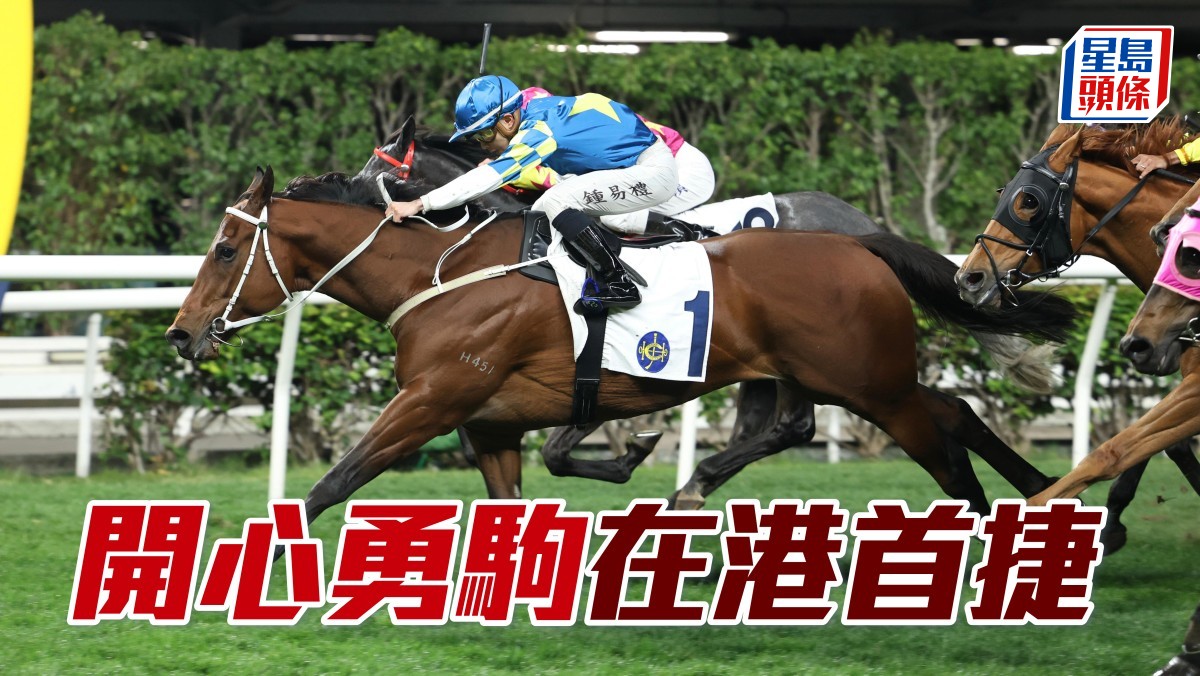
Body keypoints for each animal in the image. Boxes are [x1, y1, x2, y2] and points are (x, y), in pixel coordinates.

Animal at [166, 166, 1077, 538]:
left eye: (223, 249)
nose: (180, 331)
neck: (445, 272)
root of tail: (857, 242)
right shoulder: (490, 424)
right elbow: (517, 499)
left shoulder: (429, 402)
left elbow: (334, 481)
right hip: (815, 376)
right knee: (930, 417)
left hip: (872, 384)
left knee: (947, 451)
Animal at [357, 117, 1064, 507]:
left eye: (374, 170)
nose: (345, 191)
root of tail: (860, 228)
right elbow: (546, 448)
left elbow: (562, 444)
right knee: (923, 411)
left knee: (800, 427)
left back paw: (694, 487)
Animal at [953, 120, 1200, 552]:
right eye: (1004, 191)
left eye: (1028, 201)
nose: (969, 278)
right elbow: (1162, 443)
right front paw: (1111, 525)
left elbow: (1118, 449)